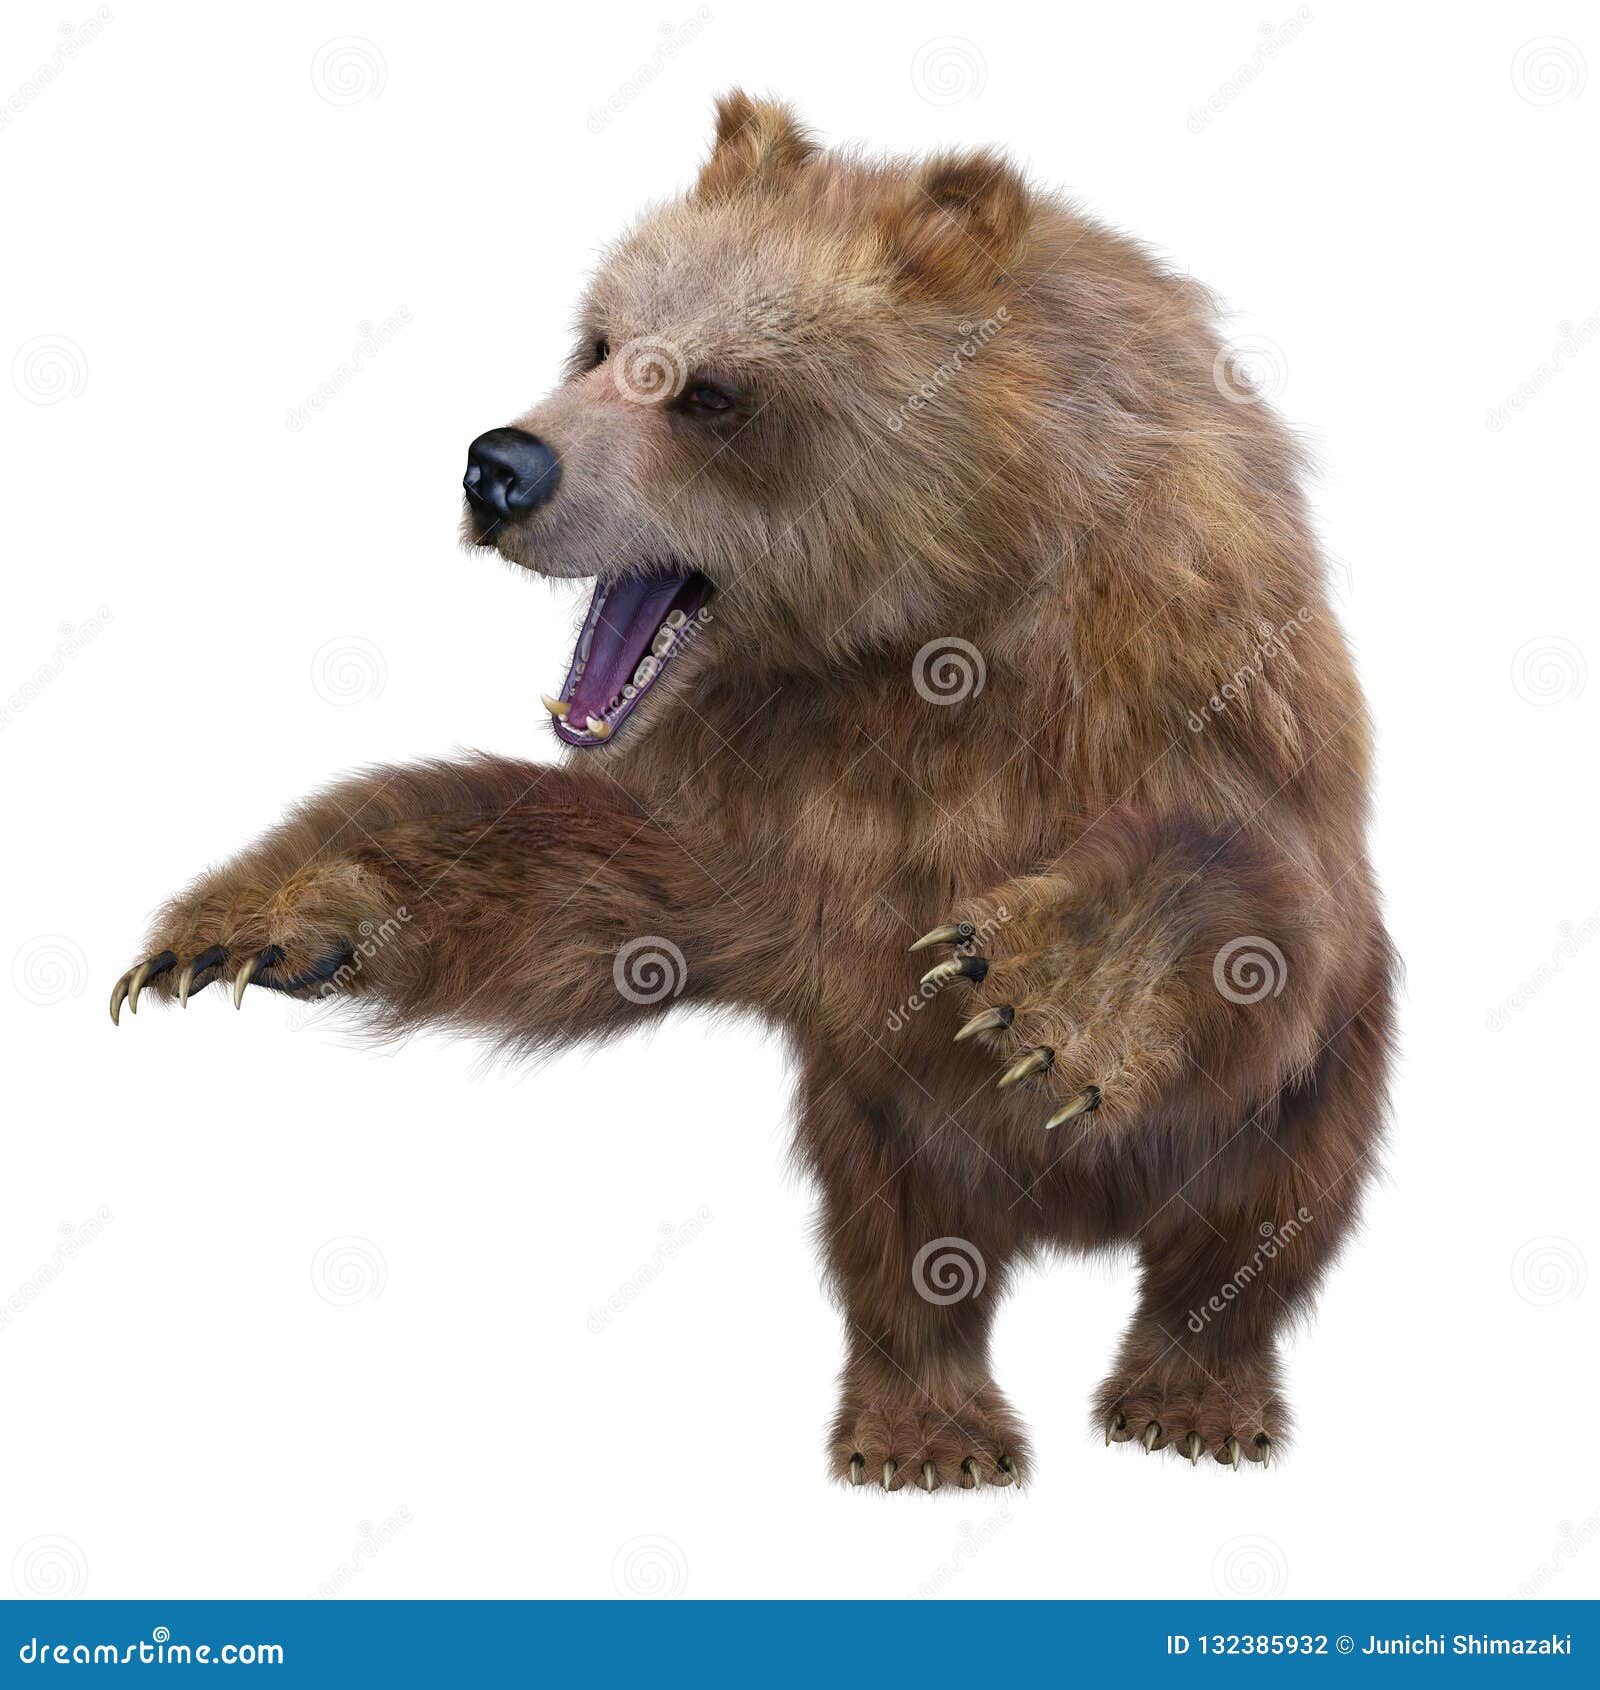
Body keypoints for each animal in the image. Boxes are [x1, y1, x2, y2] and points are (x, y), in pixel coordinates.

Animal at [112, 91, 1394, 1488]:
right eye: (600, 341)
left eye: (711, 390)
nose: (501, 465)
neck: (917, 641)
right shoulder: (764, 825)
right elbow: (581, 889)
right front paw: (250, 919)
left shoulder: (1183, 679)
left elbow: (1249, 902)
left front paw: (1032, 995)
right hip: (873, 1126)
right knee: (907, 1259)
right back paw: (922, 1428)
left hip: (1309, 1111)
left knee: (1248, 1237)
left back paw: (1188, 1398)